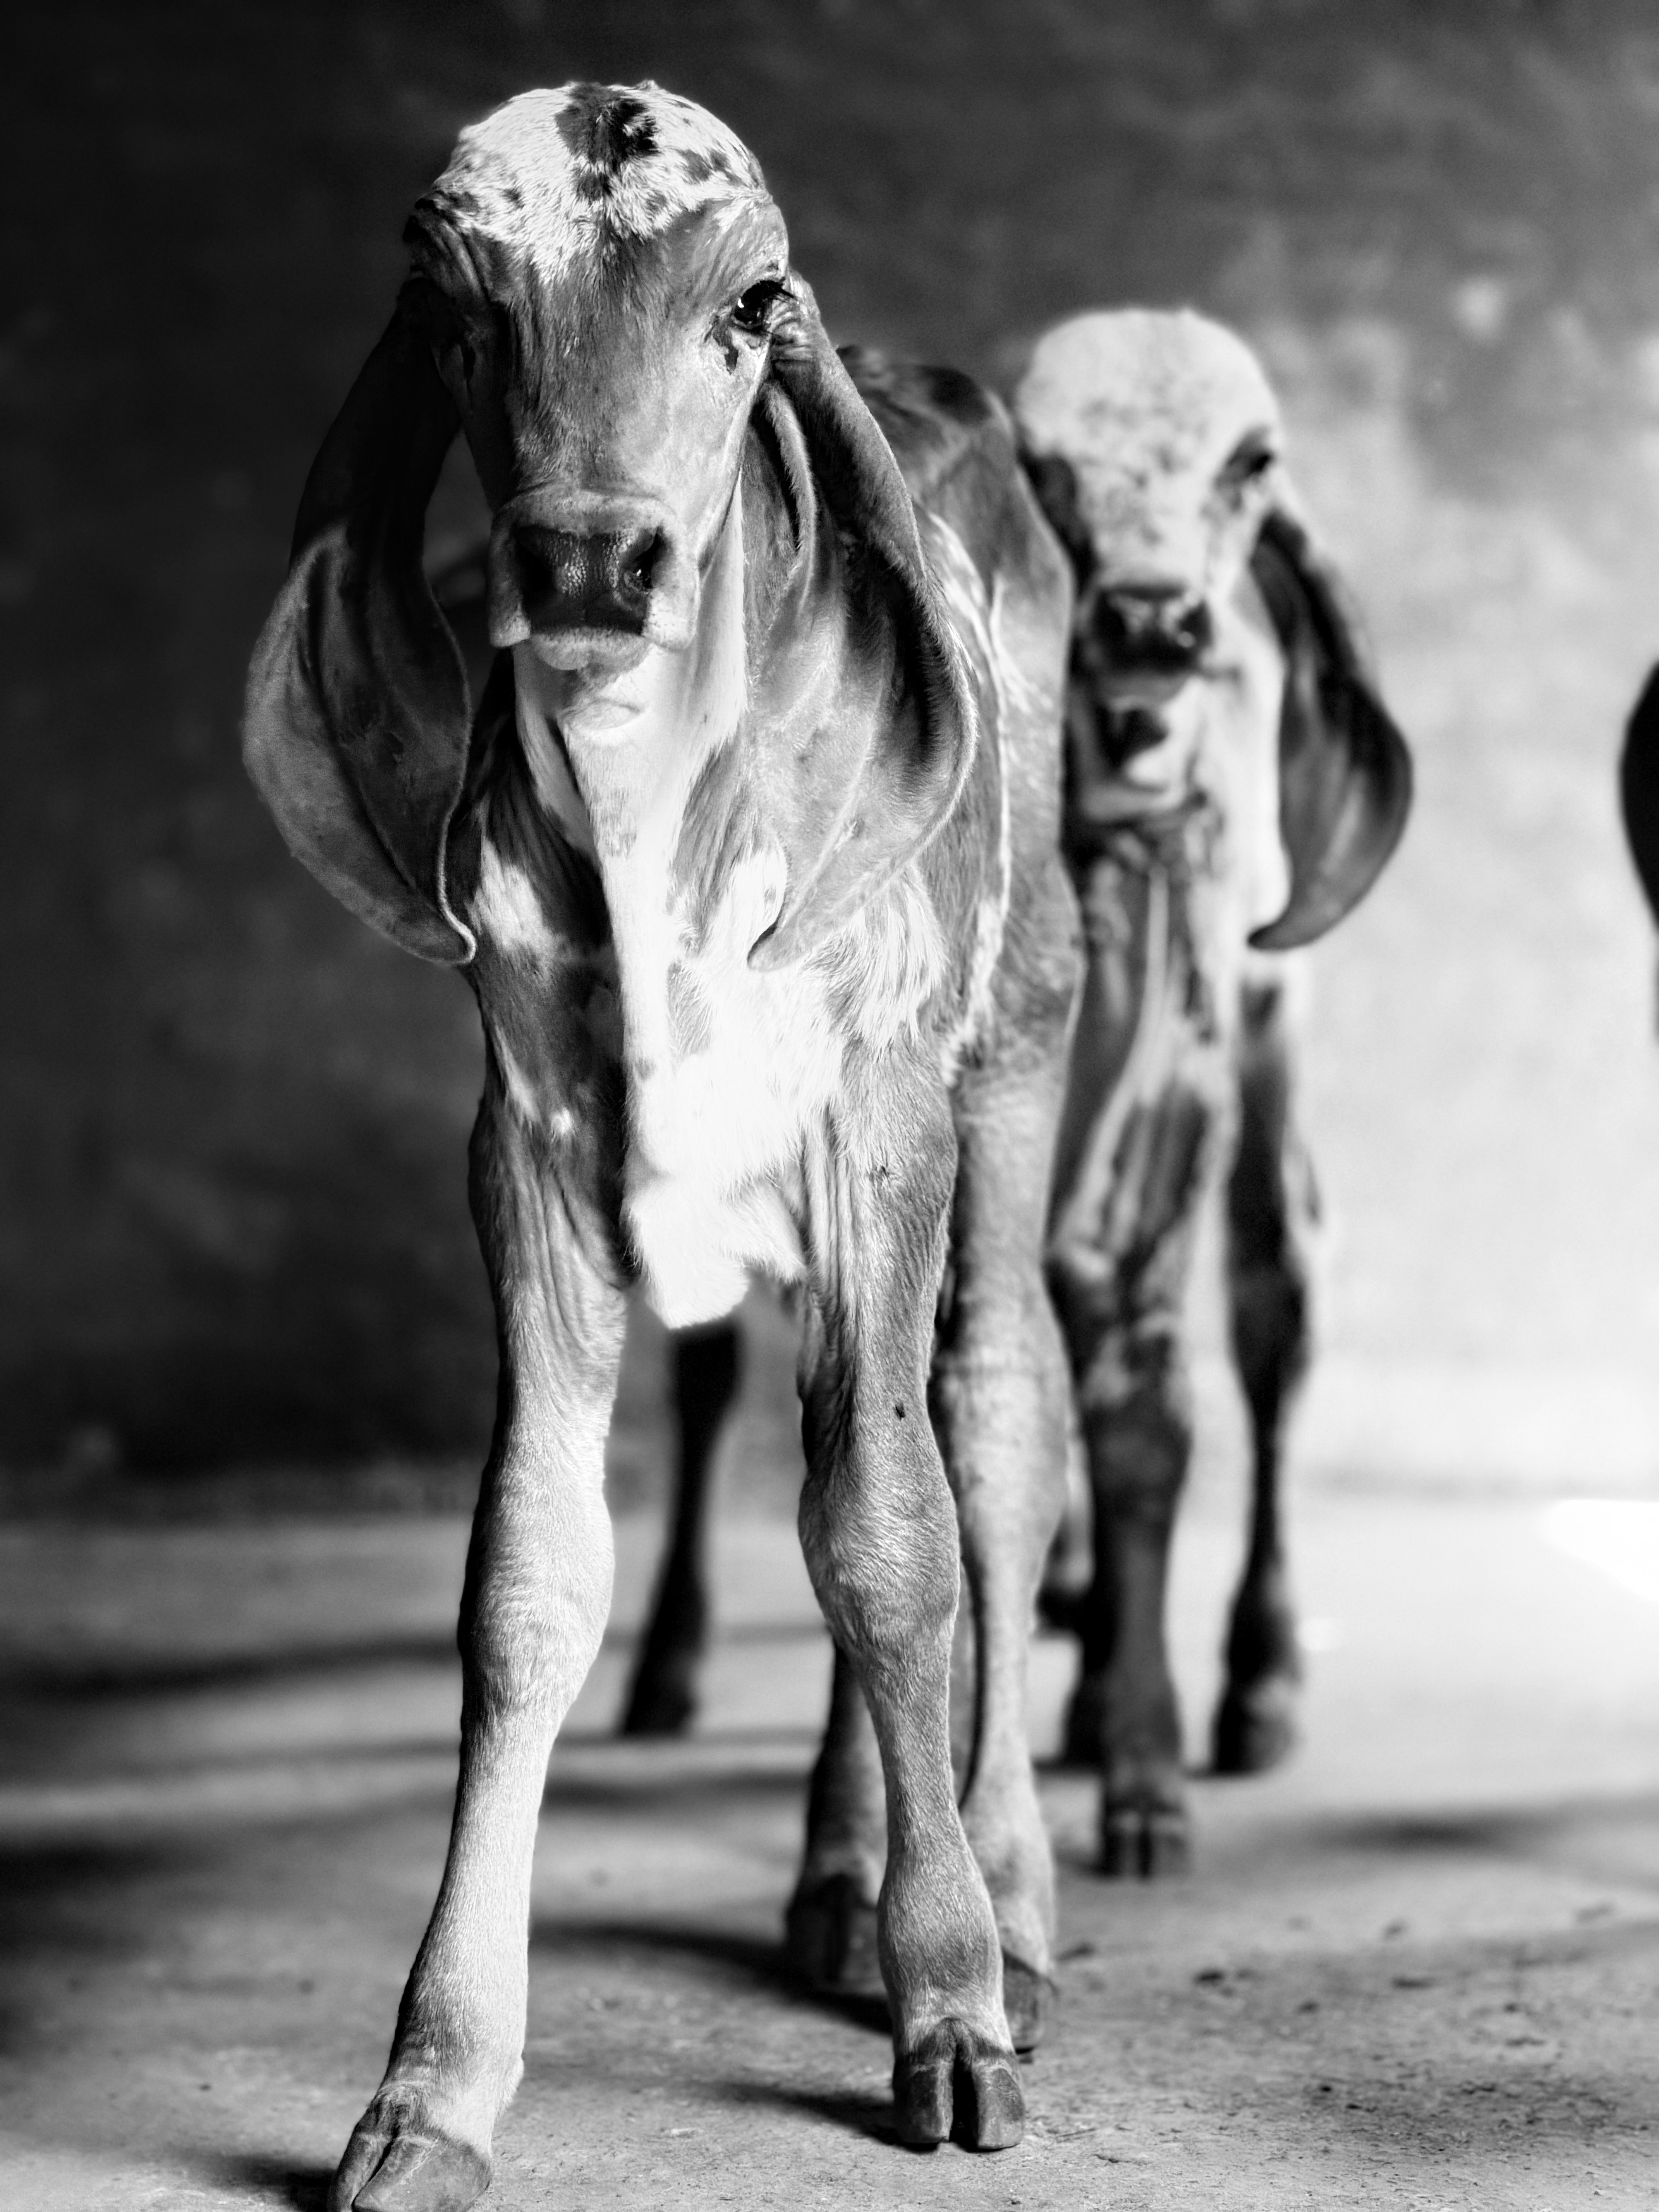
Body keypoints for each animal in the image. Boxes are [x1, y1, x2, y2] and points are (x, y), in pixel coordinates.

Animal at [243, 83, 1081, 2205]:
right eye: (458, 305)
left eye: (746, 306)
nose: (591, 557)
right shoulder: (527, 1142)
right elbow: (529, 1579)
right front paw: (433, 2083)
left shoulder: (877, 1124)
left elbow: (893, 1537)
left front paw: (951, 2005)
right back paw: (841, 1867)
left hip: (1016, 1054)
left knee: (989, 1416)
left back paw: (1008, 1888)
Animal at [1012, 309, 1412, 1875]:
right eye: (1043, 461)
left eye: (1249, 463)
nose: (1150, 622)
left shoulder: (1186, 1063)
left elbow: (1155, 1391)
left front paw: (1143, 1767)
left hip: (1270, 1035)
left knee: (1276, 1298)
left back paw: (1256, 1683)